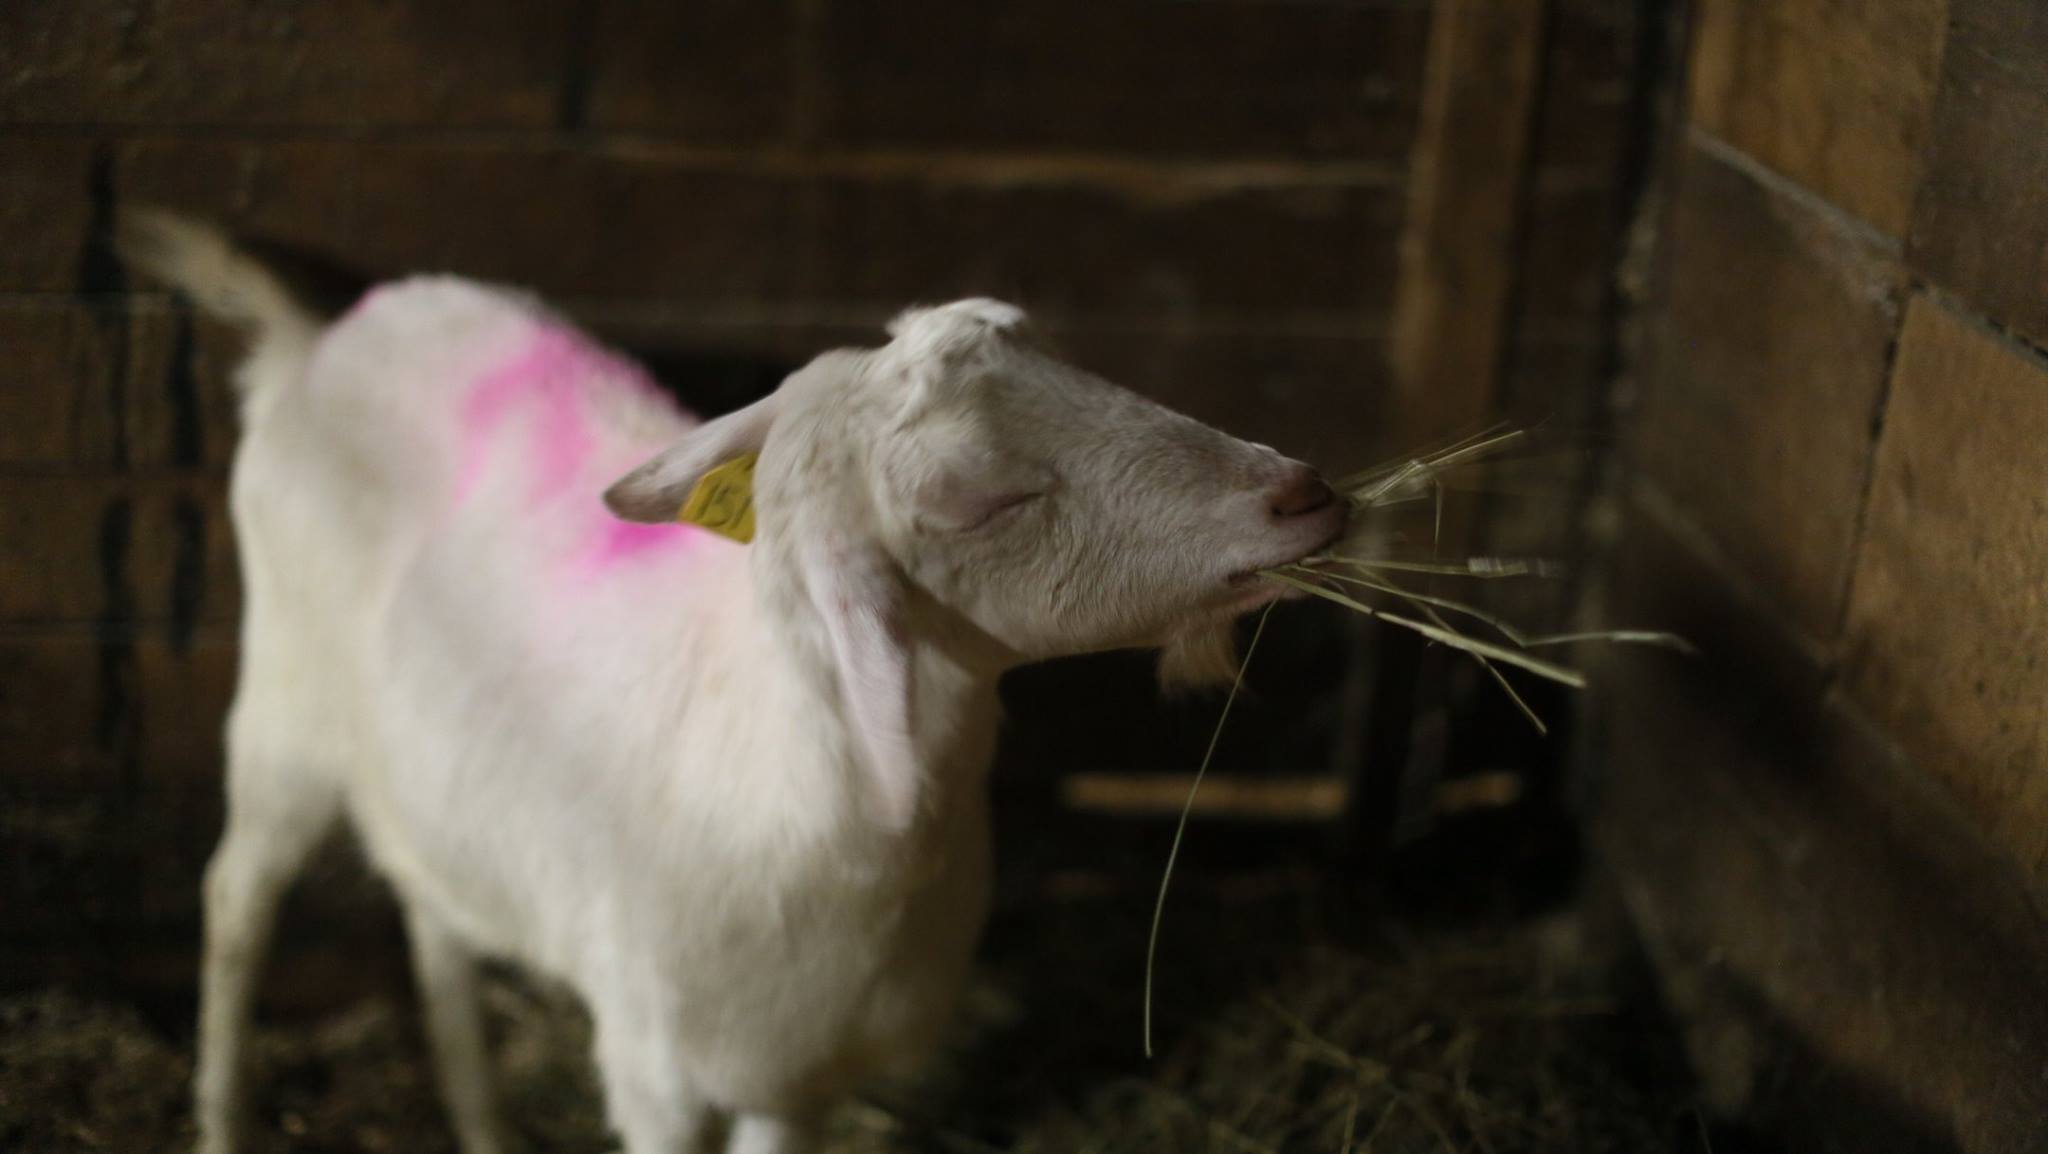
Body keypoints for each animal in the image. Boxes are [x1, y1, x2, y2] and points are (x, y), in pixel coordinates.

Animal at [118, 210, 1346, 1154]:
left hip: (424, 768)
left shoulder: (795, 1079)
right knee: (236, 899)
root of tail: (320, 336)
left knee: (432, 909)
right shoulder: (657, 1068)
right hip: (281, 699)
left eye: (1070, 366)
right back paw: (222, 1119)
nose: (1303, 490)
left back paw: (485, 1123)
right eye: (976, 503)